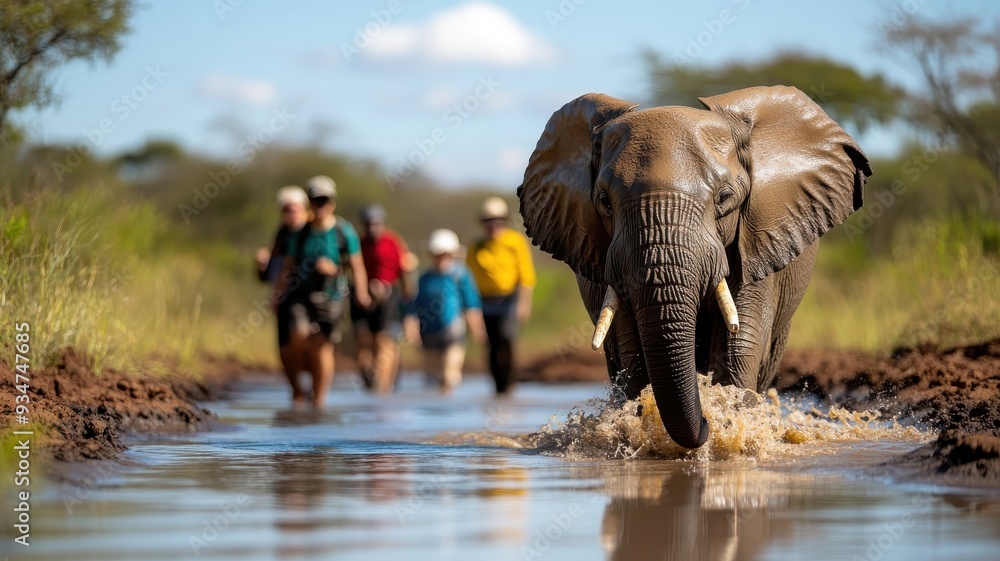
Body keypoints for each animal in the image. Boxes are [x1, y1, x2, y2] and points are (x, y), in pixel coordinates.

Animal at [517, 86, 872, 449]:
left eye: (725, 198)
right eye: (604, 202)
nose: (705, 424)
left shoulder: (758, 240)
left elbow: (738, 346)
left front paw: (728, 433)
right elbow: (633, 356)